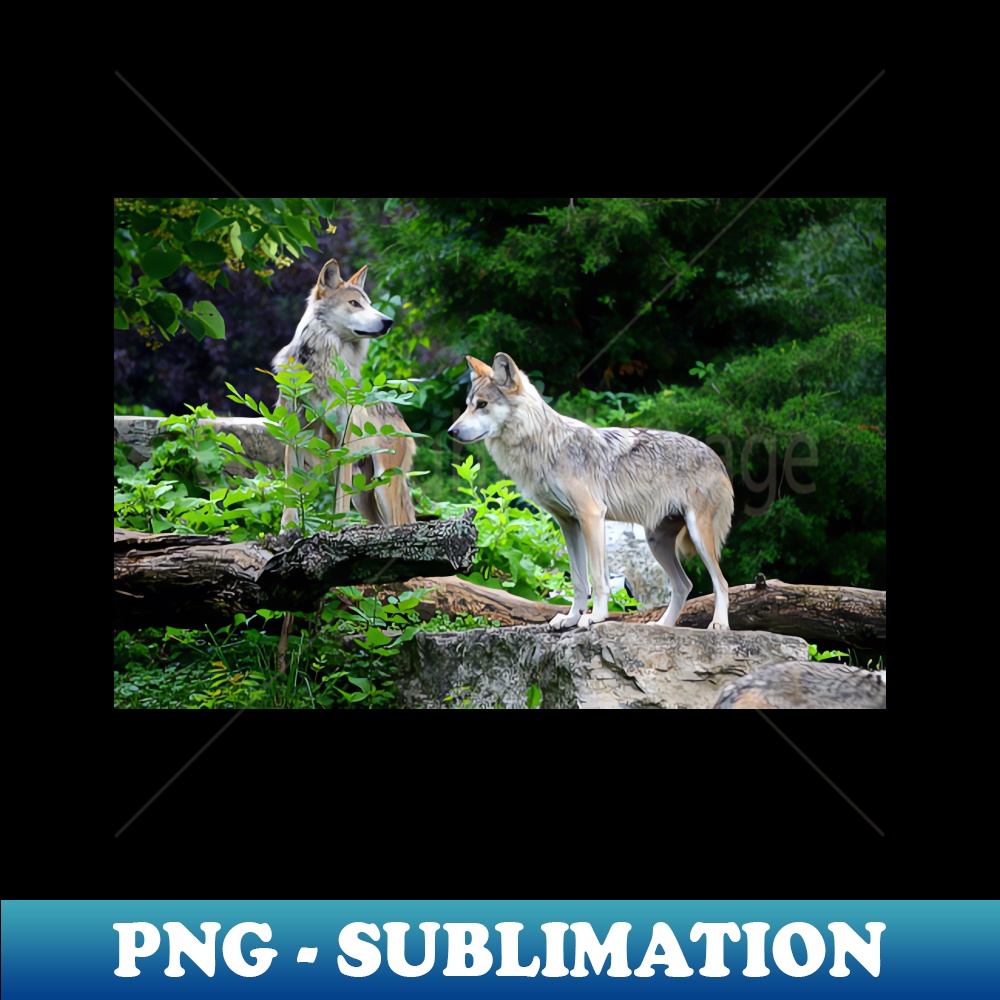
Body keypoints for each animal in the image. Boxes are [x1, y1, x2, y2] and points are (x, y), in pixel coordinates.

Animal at [271, 259, 416, 529]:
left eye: (369, 304)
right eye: (354, 303)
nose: (388, 321)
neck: (324, 365)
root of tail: (397, 413)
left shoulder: (342, 444)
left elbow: (339, 500)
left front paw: (336, 529)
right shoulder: (294, 437)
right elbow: (291, 491)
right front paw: (289, 529)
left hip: (383, 487)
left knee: (397, 522)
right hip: (364, 495)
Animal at [448, 352, 734, 630]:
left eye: (482, 404)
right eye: (468, 404)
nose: (452, 431)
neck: (546, 446)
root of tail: (716, 457)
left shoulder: (592, 516)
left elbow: (597, 578)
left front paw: (595, 617)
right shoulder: (569, 523)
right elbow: (578, 580)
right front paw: (571, 618)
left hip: (697, 537)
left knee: (721, 582)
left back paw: (718, 624)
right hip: (657, 543)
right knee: (684, 585)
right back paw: (662, 625)